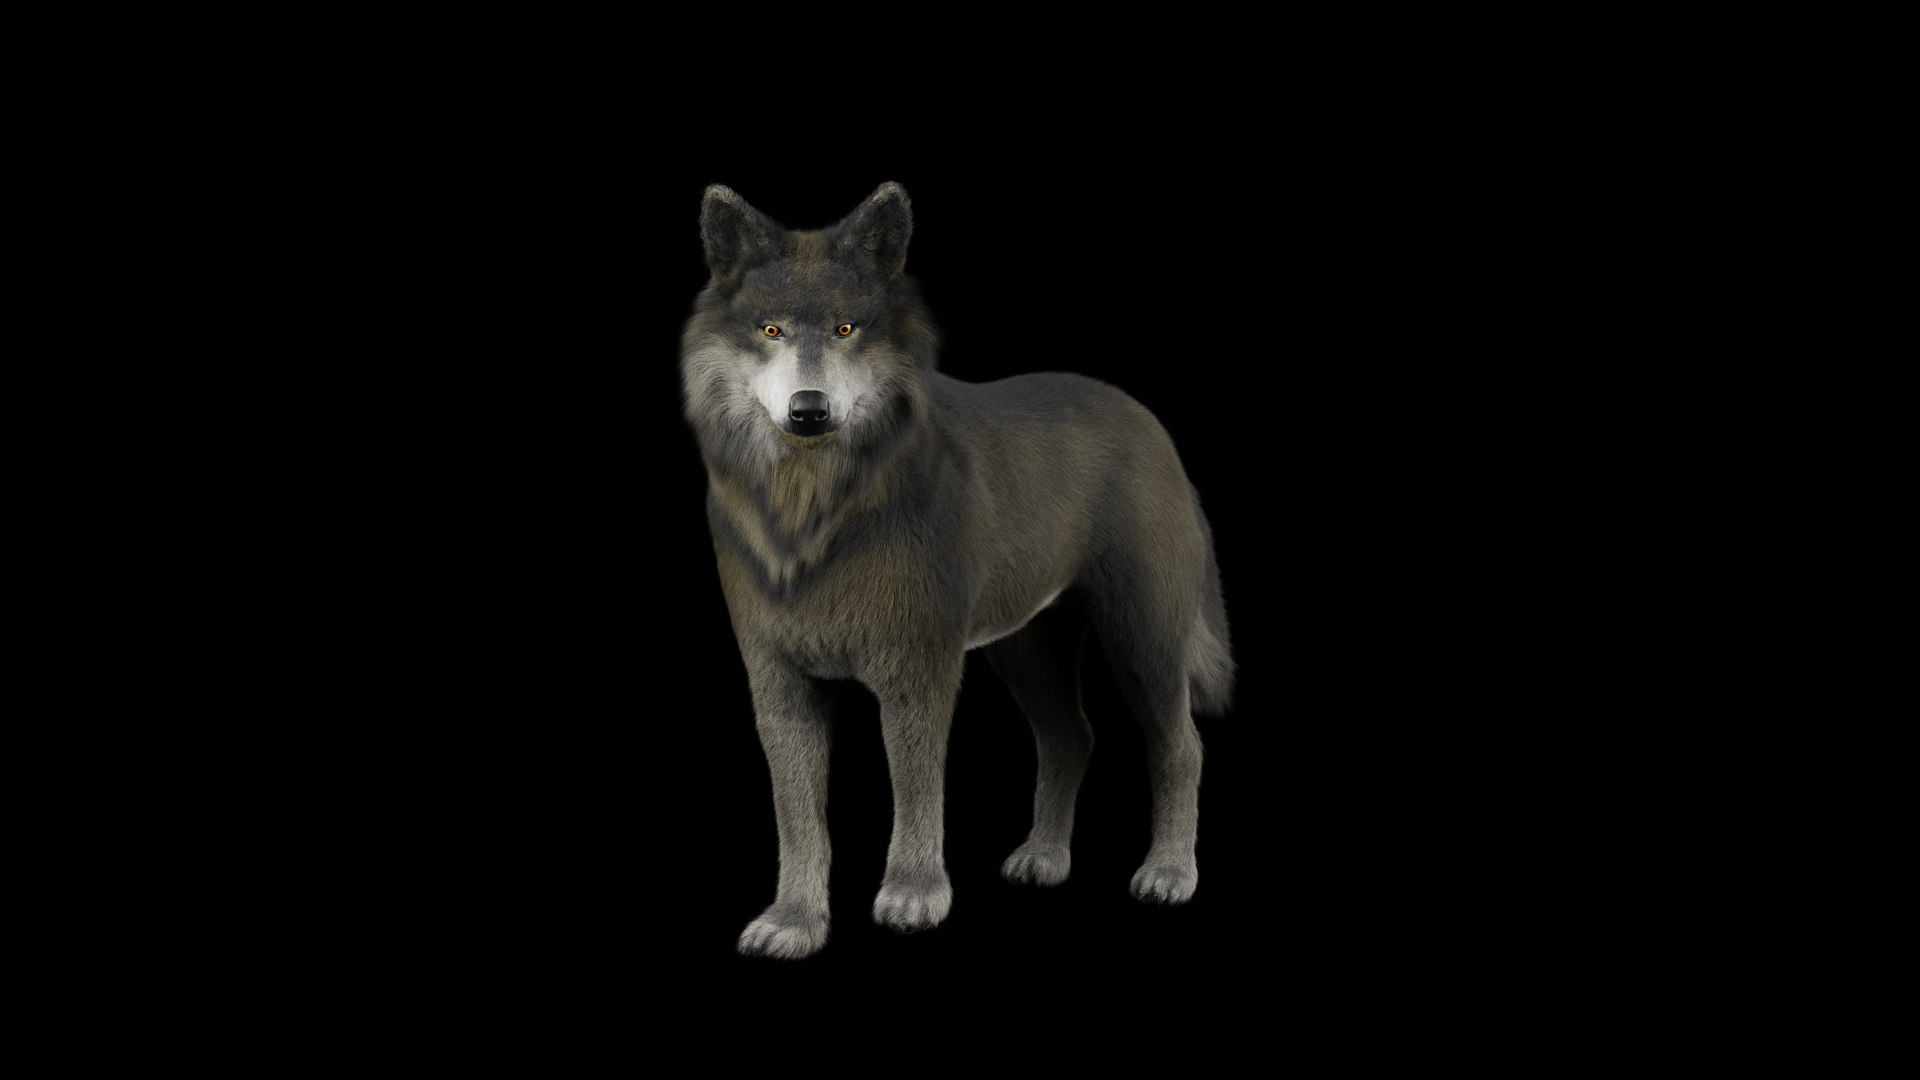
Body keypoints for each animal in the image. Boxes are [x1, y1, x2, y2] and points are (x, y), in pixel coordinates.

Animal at [680, 182, 1233, 959]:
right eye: (771, 330)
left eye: (846, 329)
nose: (809, 411)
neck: (812, 516)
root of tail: (1152, 424)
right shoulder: (778, 681)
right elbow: (798, 816)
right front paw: (793, 921)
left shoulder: (918, 669)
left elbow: (915, 785)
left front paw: (913, 895)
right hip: (1025, 649)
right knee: (1073, 736)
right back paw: (1043, 859)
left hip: (1141, 640)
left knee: (1181, 746)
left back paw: (1169, 873)